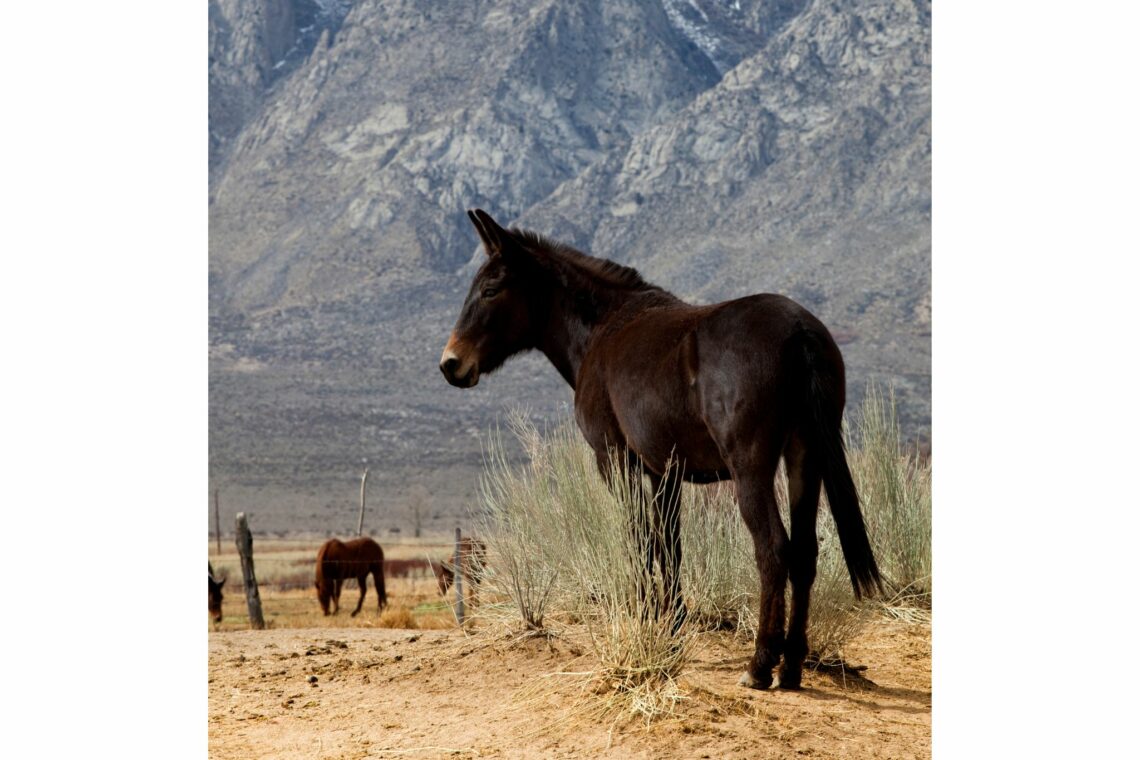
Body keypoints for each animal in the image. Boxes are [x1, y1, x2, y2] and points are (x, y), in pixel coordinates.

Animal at [440, 209, 882, 690]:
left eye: (490, 289)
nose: (450, 364)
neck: (603, 328)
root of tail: (799, 331)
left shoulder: (616, 461)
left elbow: (638, 540)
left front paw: (646, 620)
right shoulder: (663, 470)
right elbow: (669, 546)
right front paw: (671, 628)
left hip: (752, 470)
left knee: (773, 550)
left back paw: (761, 664)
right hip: (804, 460)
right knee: (804, 553)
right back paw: (792, 666)